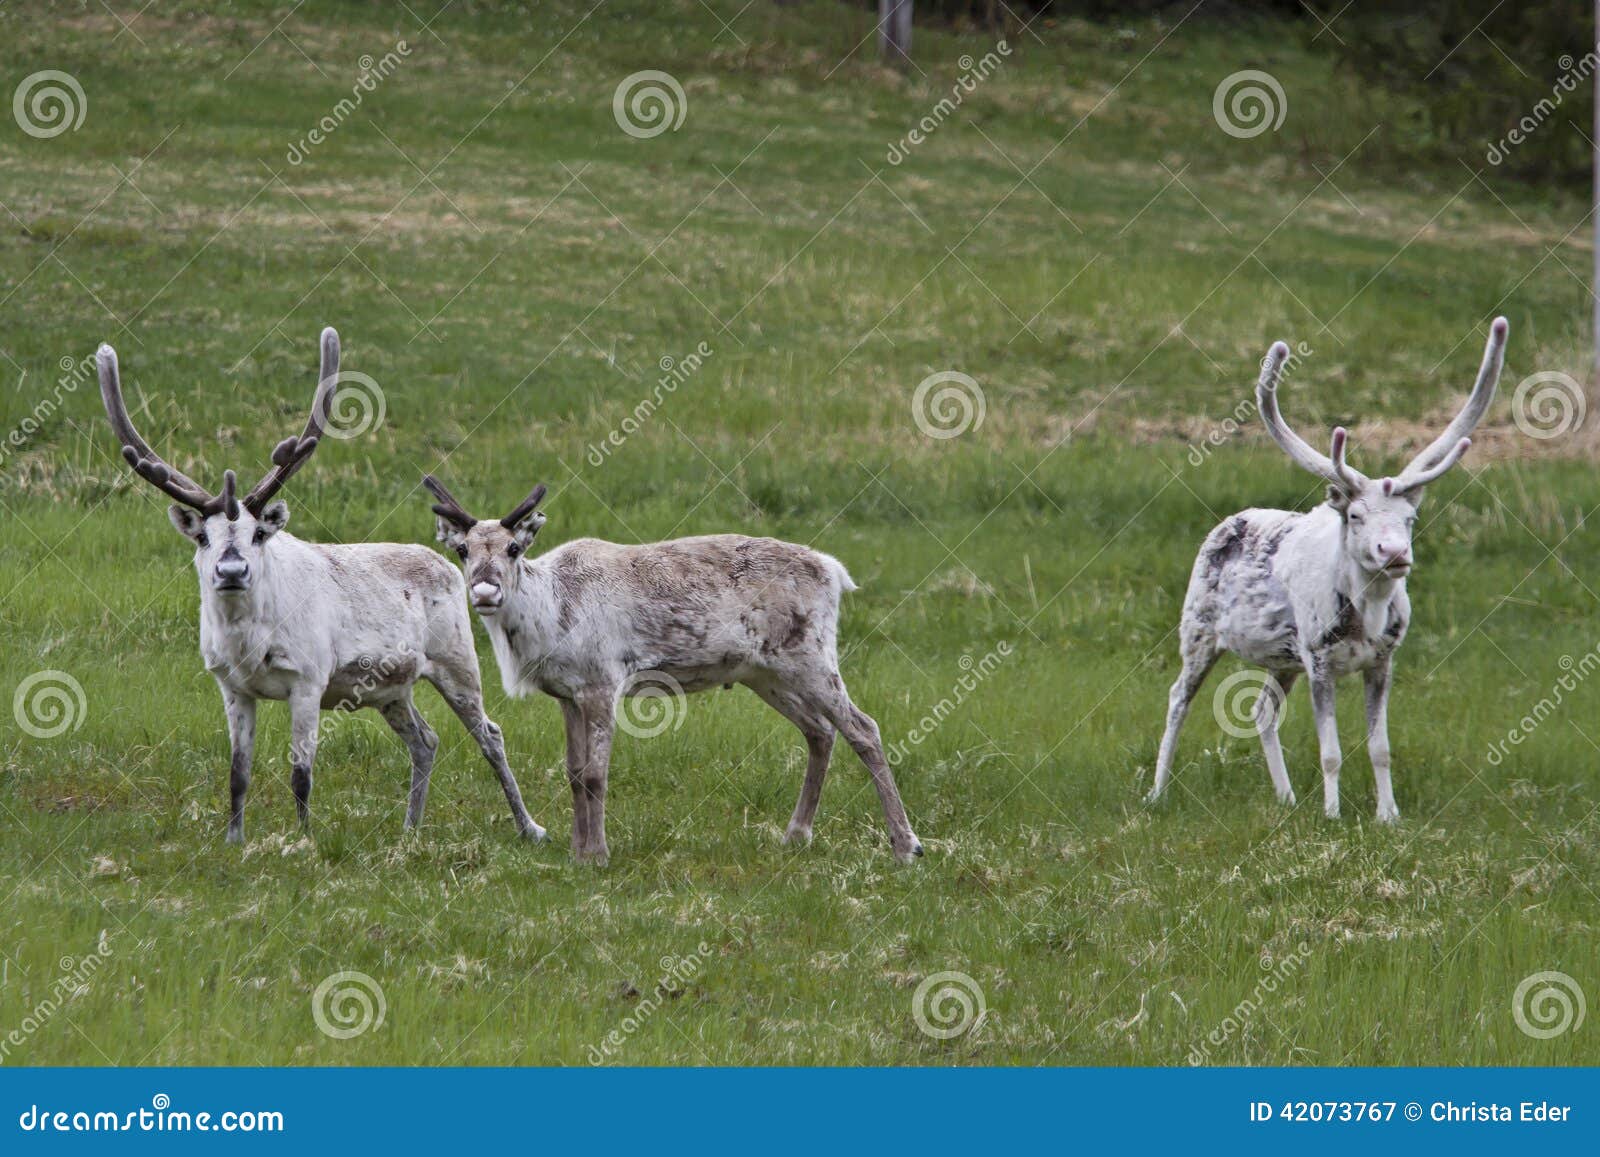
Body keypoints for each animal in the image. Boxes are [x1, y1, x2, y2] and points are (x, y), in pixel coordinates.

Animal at [98, 329, 546, 845]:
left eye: (257, 533)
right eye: (203, 537)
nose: (231, 570)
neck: (246, 644)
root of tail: (450, 562)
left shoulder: (308, 679)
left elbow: (301, 772)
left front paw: (303, 839)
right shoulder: (231, 687)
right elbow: (237, 772)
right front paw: (233, 840)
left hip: (456, 658)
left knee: (490, 733)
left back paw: (531, 827)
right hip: (390, 689)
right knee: (425, 739)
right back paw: (409, 828)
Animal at [417, 474, 923, 866]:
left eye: (514, 548)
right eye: (462, 550)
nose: (485, 592)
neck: (550, 612)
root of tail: (835, 571)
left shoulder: (603, 681)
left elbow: (597, 774)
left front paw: (597, 855)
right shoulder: (568, 694)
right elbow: (575, 773)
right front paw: (577, 852)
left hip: (812, 658)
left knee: (864, 728)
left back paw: (906, 846)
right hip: (766, 674)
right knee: (820, 731)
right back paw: (795, 835)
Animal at [1146, 316, 1509, 822]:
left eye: (1410, 518)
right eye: (1355, 515)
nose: (1394, 552)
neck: (1367, 619)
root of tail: (1227, 522)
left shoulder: (1383, 660)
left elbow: (1381, 747)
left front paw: (1388, 815)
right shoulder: (1319, 658)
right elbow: (1331, 751)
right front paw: (1333, 813)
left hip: (1283, 657)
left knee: (1260, 709)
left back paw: (1286, 797)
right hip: (1197, 627)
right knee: (1177, 696)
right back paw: (1157, 792)